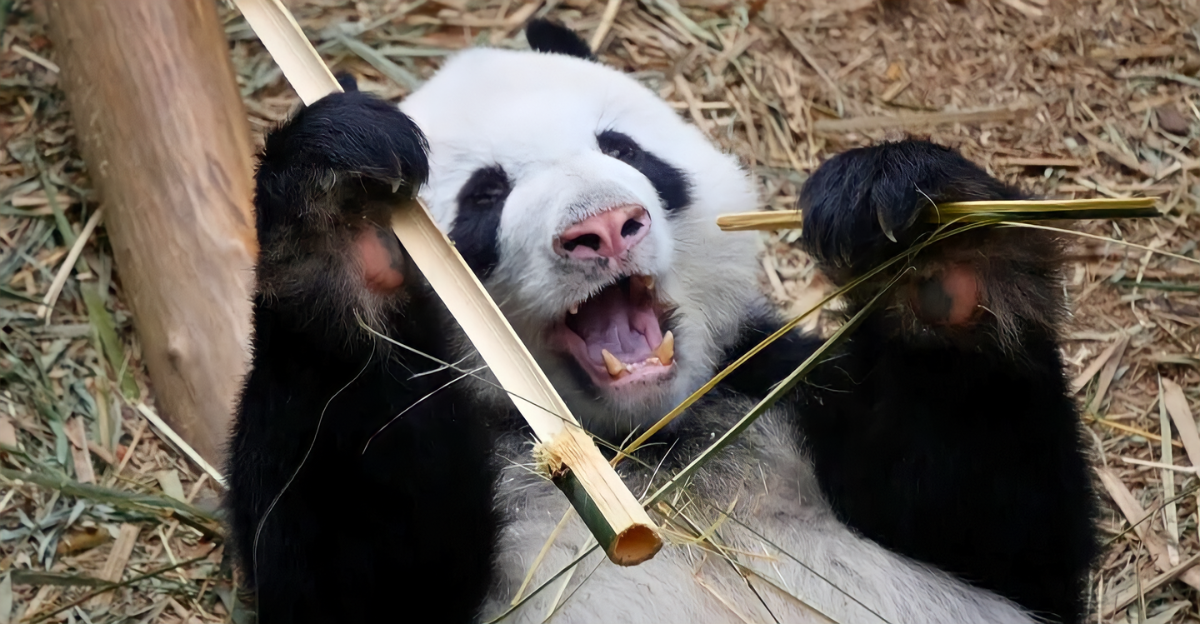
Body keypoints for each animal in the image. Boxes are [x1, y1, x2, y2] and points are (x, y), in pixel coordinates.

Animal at [226, 19, 1097, 624]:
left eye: (625, 150)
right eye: (484, 195)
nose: (605, 227)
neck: (642, 448)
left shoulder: (772, 385)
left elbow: (997, 529)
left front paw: (927, 242)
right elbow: (345, 563)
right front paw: (347, 215)